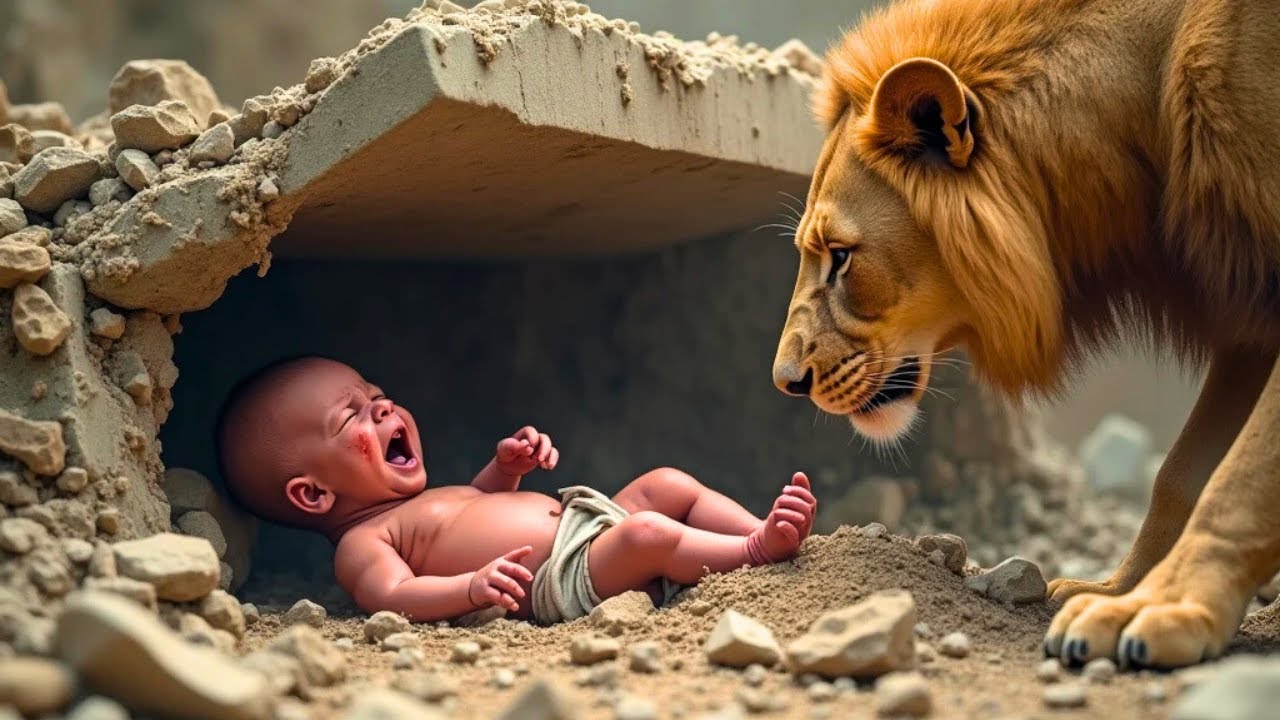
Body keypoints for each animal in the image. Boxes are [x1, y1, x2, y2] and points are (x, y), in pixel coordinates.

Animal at [771, 0, 1280, 669]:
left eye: (840, 256)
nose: (785, 381)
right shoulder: (1249, 308)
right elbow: (1183, 473)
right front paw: (1120, 591)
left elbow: (1241, 480)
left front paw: (1160, 609)